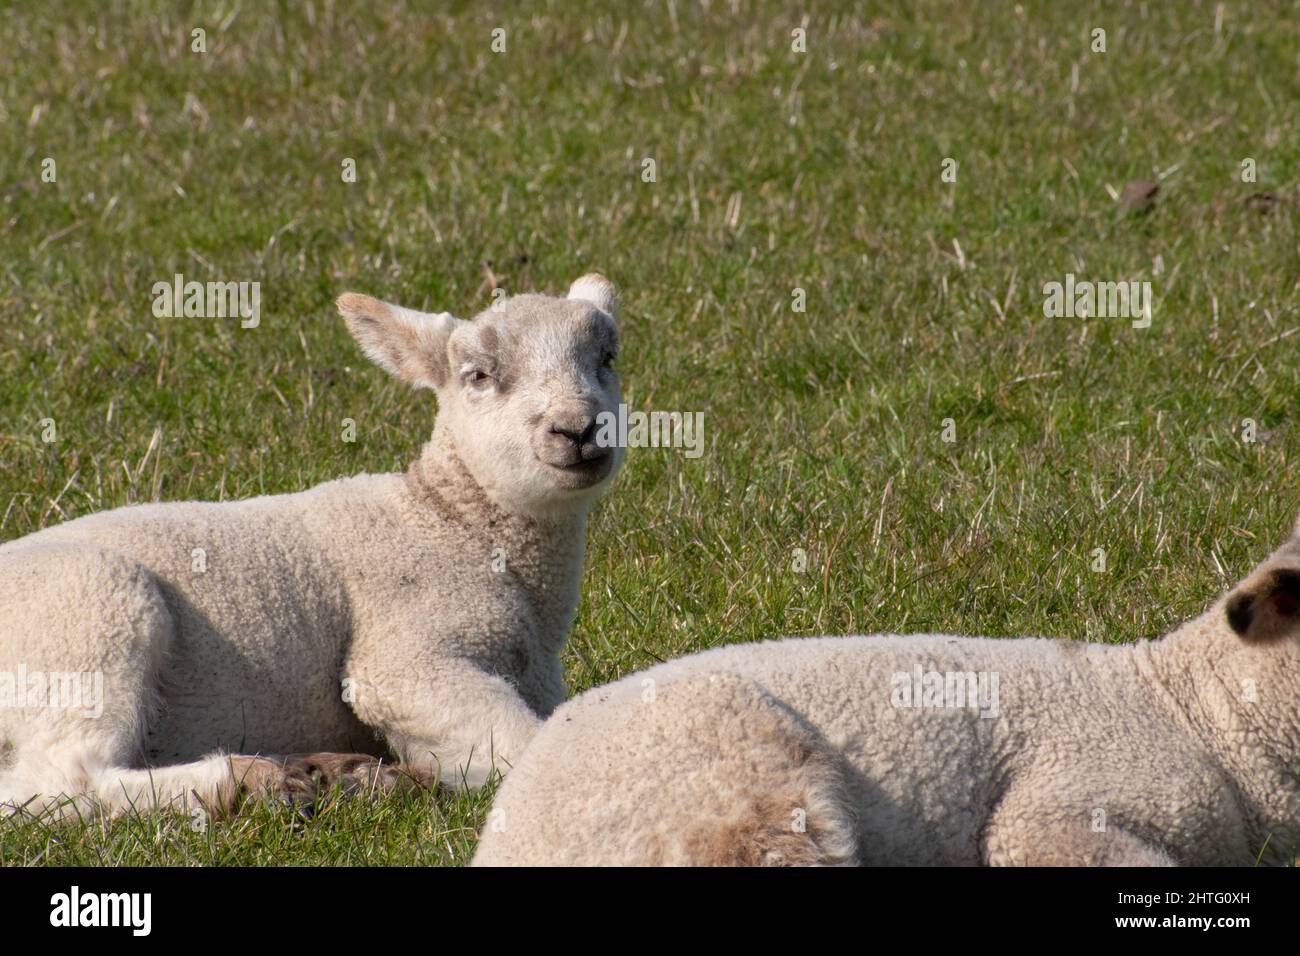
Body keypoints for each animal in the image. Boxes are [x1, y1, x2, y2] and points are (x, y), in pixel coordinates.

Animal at [0, 273, 625, 819]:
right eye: (478, 375)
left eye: (607, 359)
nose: (578, 428)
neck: (449, 519)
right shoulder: (403, 660)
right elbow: (527, 744)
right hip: (88, 621)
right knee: (62, 783)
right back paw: (246, 782)